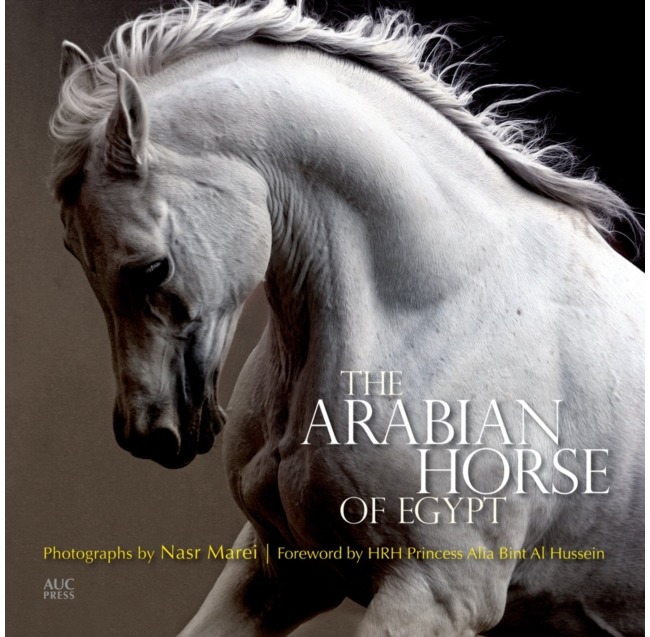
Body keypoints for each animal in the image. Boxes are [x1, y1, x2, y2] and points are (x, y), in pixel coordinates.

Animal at [50, 1, 644, 635]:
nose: (149, 433)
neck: (440, 303)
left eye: (152, 268)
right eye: (74, 254)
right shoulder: (279, 570)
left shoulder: (437, 593)